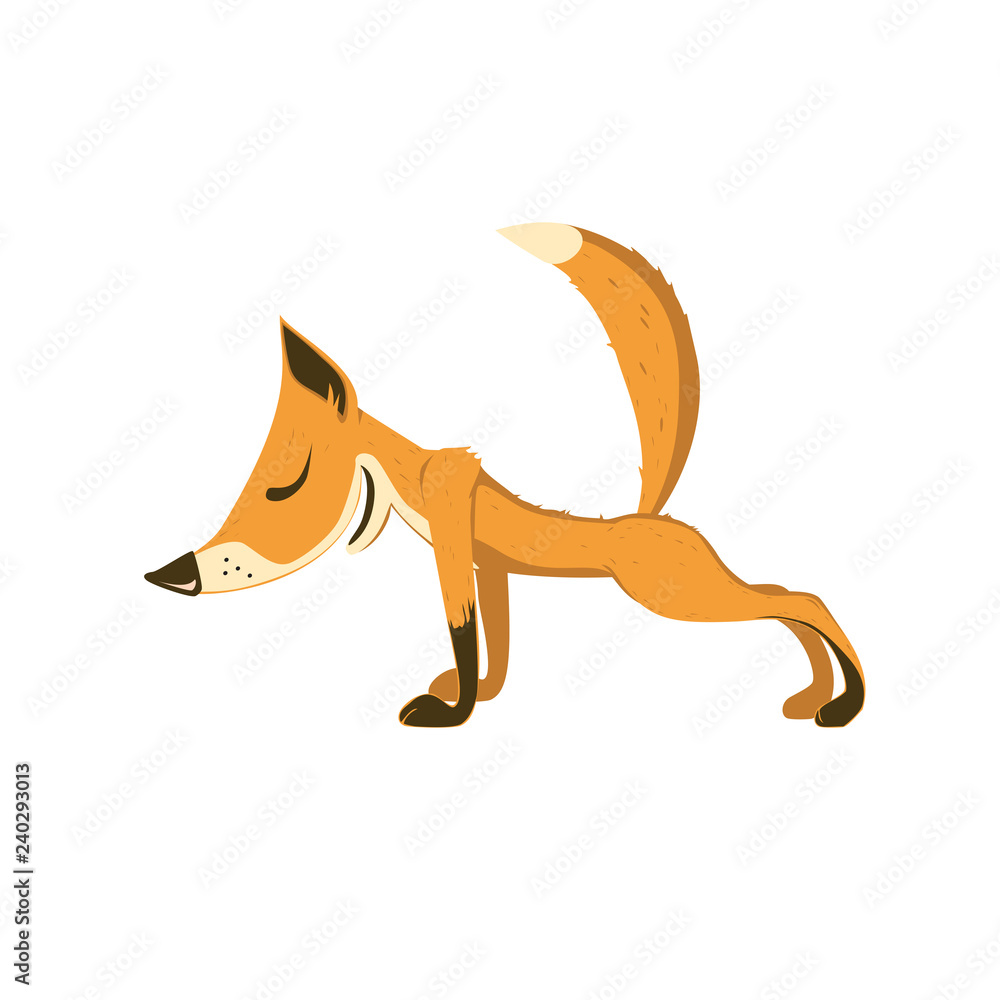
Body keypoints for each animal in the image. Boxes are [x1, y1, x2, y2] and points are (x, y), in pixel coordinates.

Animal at [145, 223, 865, 728]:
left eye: (284, 486)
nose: (175, 574)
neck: (408, 480)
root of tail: (655, 520)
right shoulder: (488, 565)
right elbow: (495, 641)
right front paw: (483, 698)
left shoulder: (451, 534)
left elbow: (461, 634)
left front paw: (452, 715)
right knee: (789, 597)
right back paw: (815, 698)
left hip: (674, 595)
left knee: (803, 600)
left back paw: (842, 705)